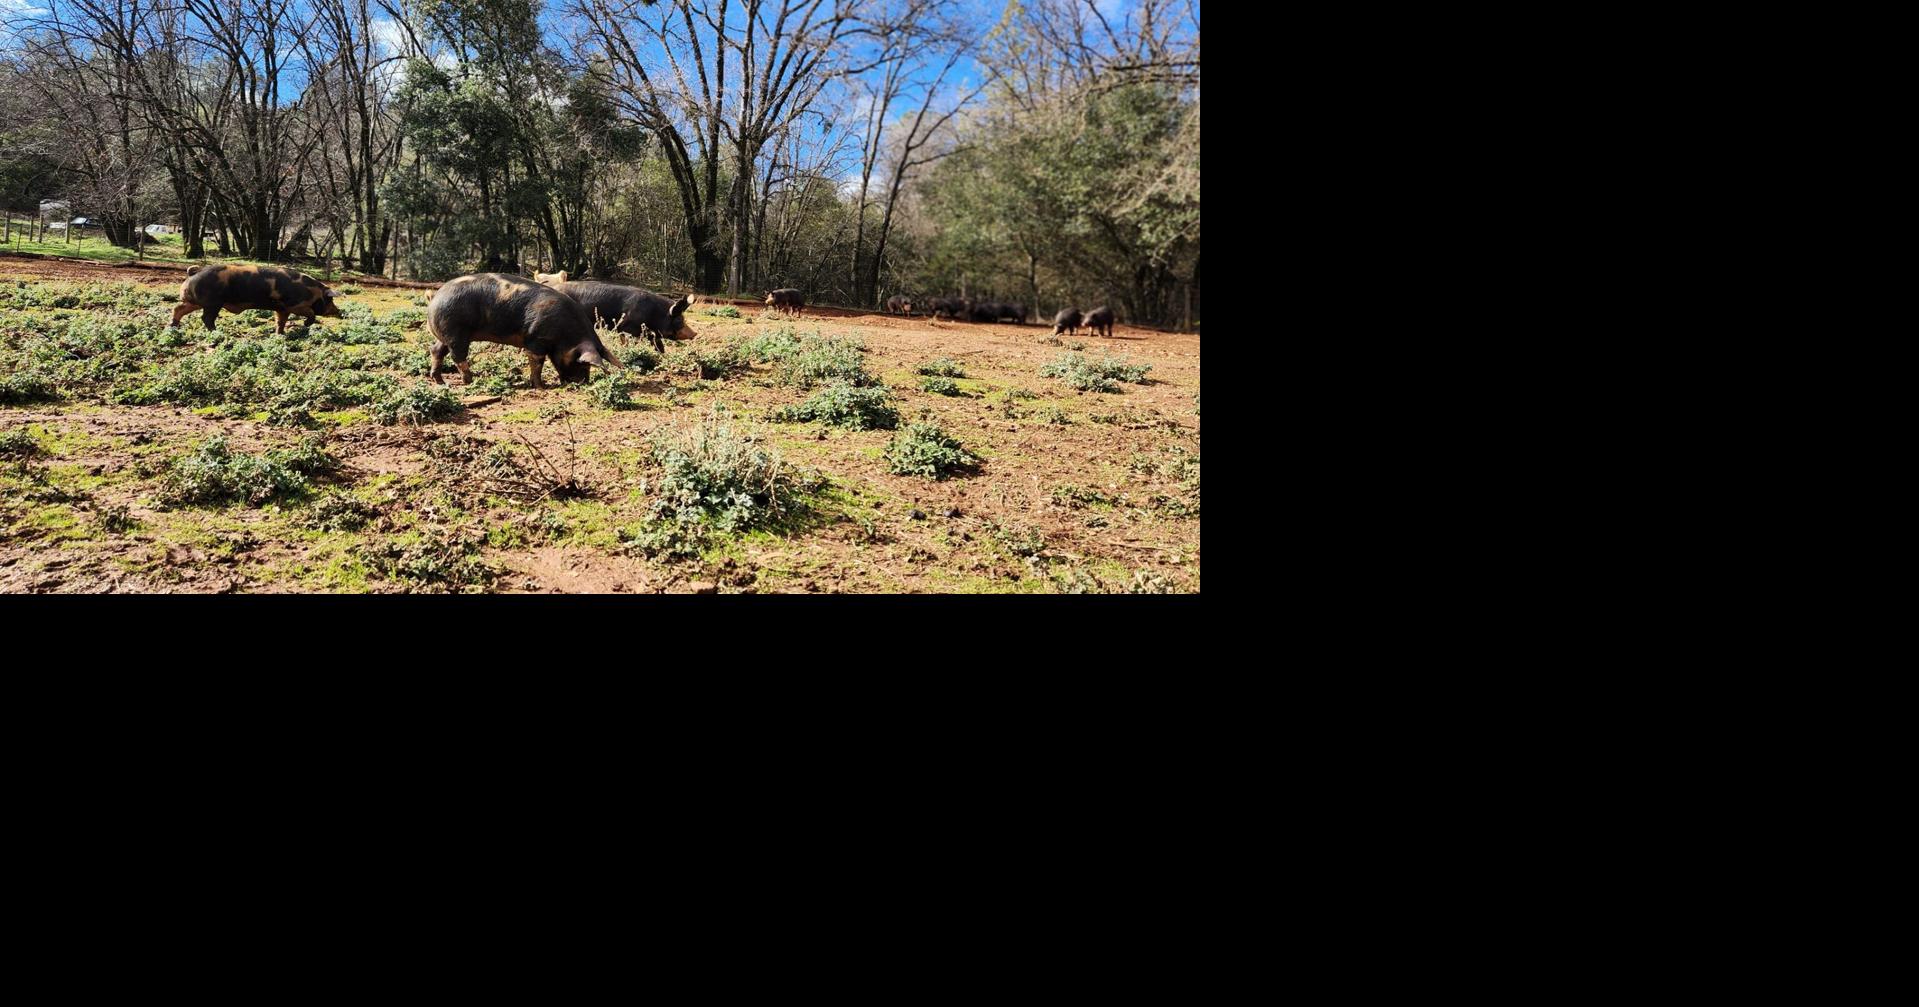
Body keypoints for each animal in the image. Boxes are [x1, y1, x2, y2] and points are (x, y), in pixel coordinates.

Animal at [170, 263, 343, 334]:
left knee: (178, 308)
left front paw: (280, 335)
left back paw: (173, 327)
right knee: (206, 318)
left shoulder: (281, 309)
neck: (313, 292)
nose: (340, 312)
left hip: (194, 301)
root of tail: (195, 272)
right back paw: (217, 332)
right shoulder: (295, 305)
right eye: (331, 300)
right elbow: (310, 314)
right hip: (212, 303)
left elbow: (280, 321)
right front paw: (306, 325)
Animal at [425, 273, 618, 388]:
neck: (566, 334)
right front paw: (541, 386)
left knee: (436, 350)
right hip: (456, 331)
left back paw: (440, 382)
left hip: (446, 334)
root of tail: (435, 298)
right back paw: (470, 381)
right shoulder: (536, 339)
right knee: (457, 356)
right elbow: (537, 362)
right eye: (582, 362)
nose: (583, 383)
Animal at [553, 279, 697, 353]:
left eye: (683, 319)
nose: (695, 333)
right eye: (679, 320)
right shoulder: (625, 328)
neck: (655, 314)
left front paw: (661, 355)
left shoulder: (650, 333)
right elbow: (626, 341)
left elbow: (659, 345)